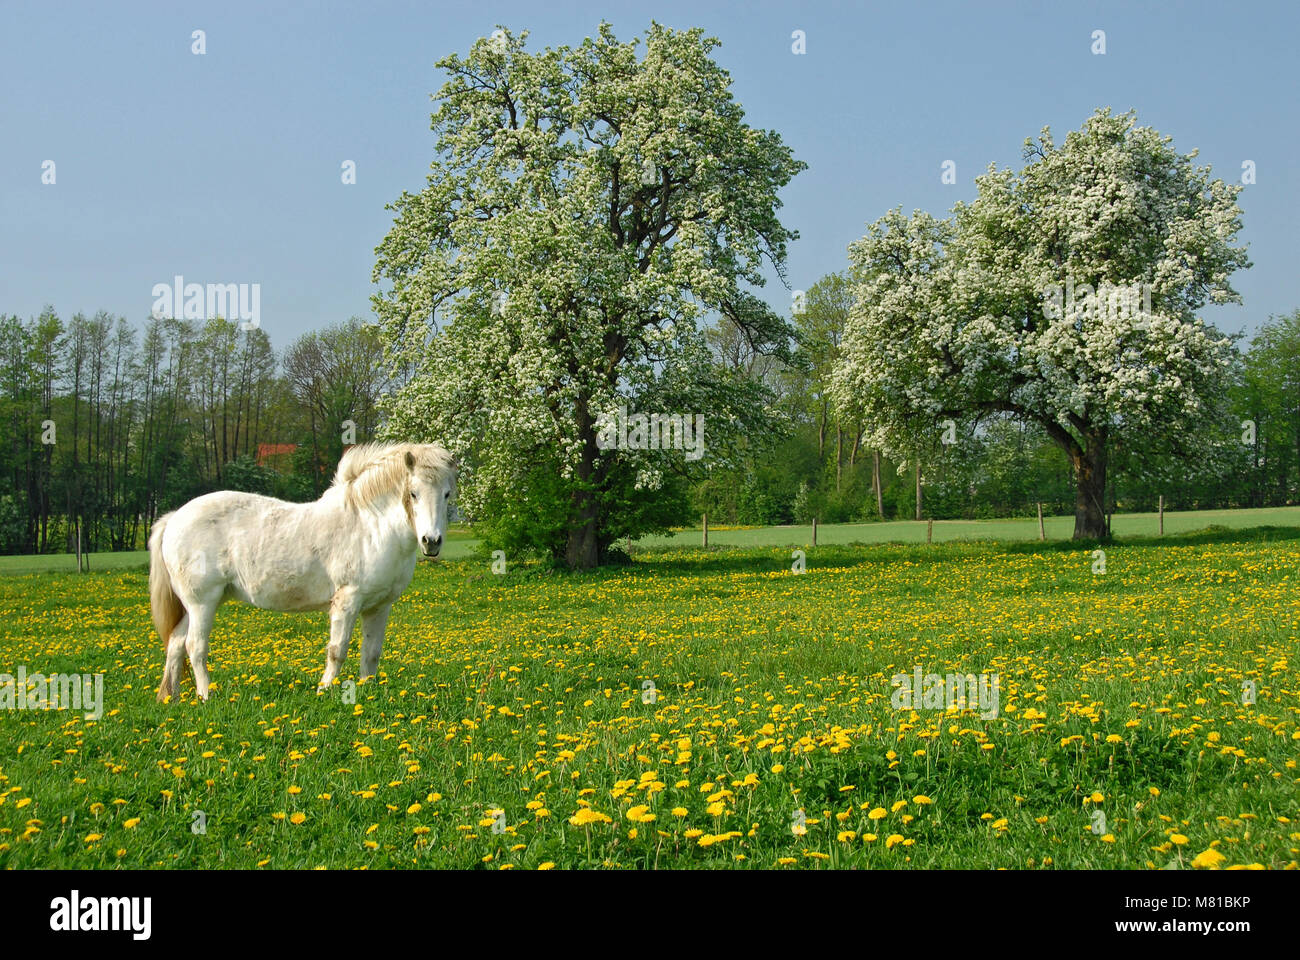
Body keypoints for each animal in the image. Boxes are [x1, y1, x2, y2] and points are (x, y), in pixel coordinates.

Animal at [149, 442, 457, 702]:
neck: (370, 526)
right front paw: (324, 690)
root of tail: (174, 517)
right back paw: (206, 696)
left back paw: (171, 698)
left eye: (447, 494)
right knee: (195, 647)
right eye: (414, 493)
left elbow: (371, 654)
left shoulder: (379, 607)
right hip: (202, 603)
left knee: (176, 643)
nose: (431, 541)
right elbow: (337, 651)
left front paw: (368, 692)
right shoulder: (347, 601)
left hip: (195, 605)